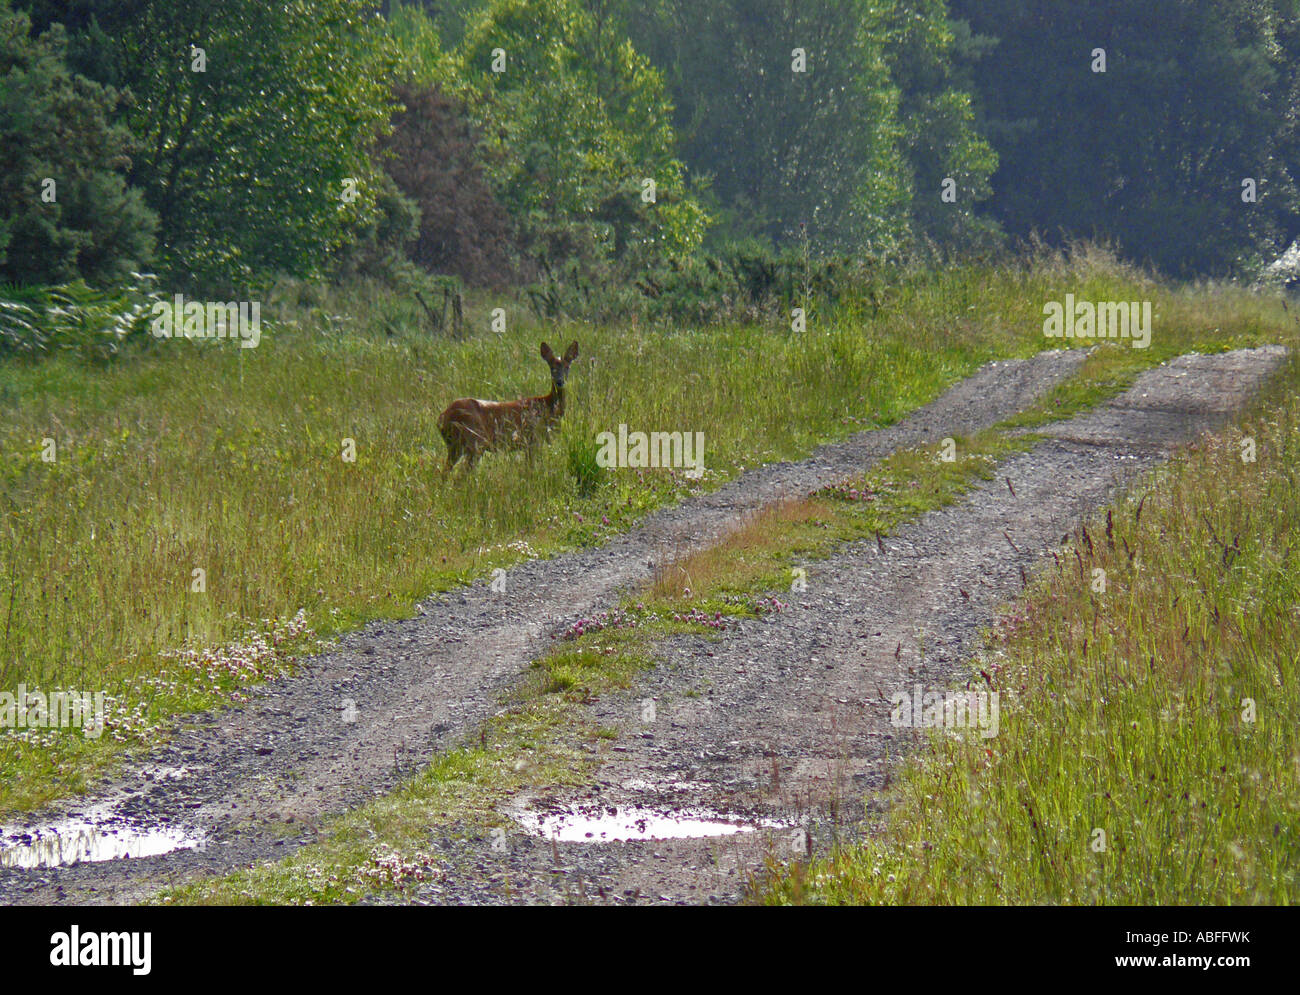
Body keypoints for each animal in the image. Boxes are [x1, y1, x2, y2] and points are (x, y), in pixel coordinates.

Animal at [438, 340, 579, 471]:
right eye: (552, 367)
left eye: (567, 367)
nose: (560, 381)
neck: (547, 406)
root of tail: (443, 417)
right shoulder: (534, 439)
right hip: (474, 442)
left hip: (455, 446)